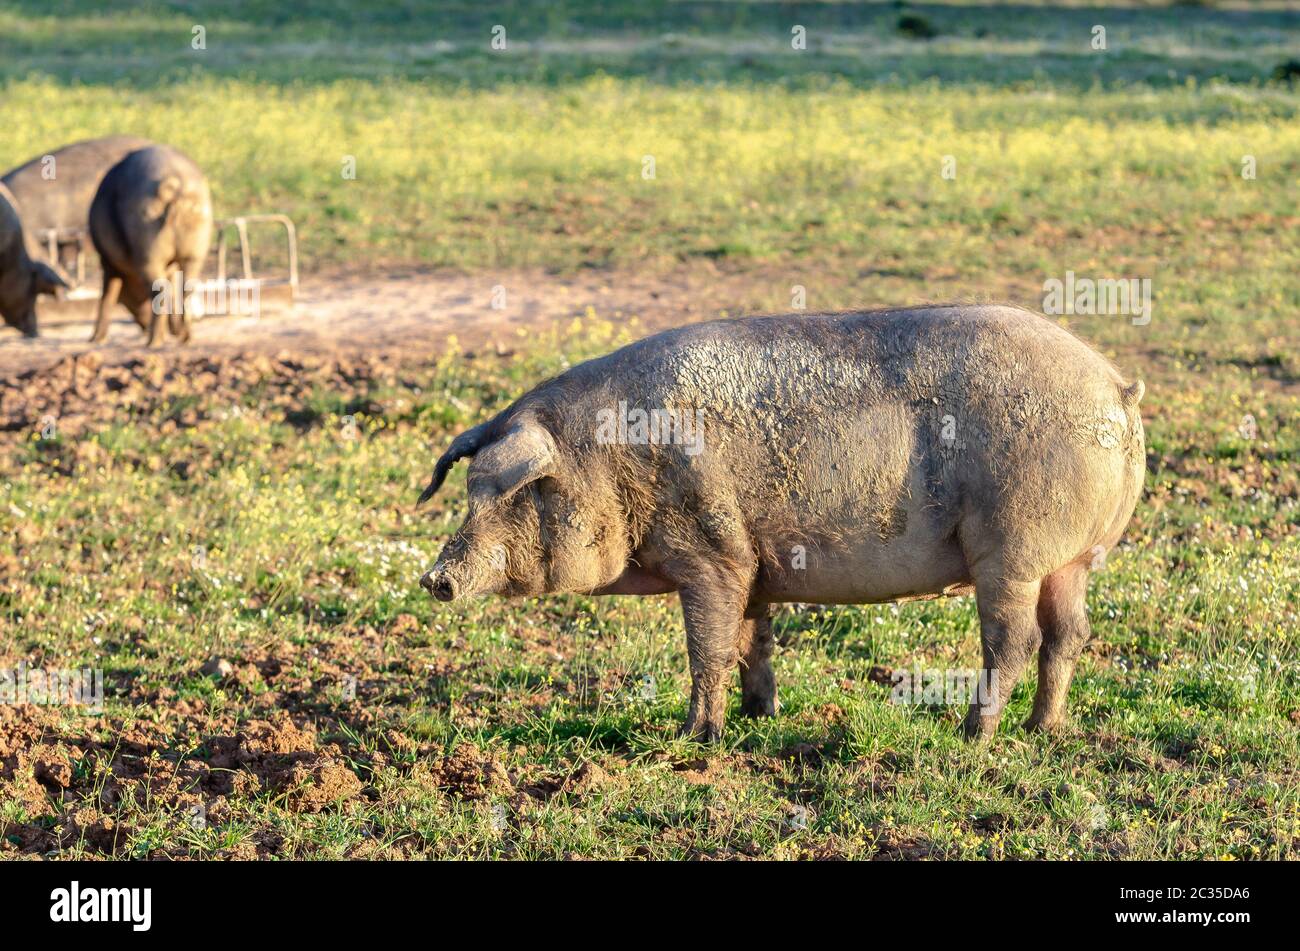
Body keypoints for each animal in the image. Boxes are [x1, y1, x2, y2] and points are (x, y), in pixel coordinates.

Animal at [88, 145, 213, 346]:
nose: (143, 325)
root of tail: (172, 181)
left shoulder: (108, 262)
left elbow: (107, 295)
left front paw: (96, 339)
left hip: (148, 253)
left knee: (159, 290)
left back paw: (153, 341)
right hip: (194, 253)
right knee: (185, 288)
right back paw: (185, 337)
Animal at [418, 304, 1147, 742]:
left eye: (521, 492)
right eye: (470, 489)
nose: (434, 579)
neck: (613, 459)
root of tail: (1116, 384)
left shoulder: (711, 552)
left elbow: (708, 647)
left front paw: (694, 738)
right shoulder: (751, 561)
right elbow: (753, 642)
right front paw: (760, 719)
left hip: (1011, 548)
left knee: (1015, 639)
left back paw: (972, 736)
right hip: (1076, 557)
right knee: (1070, 633)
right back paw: (1044, 731)